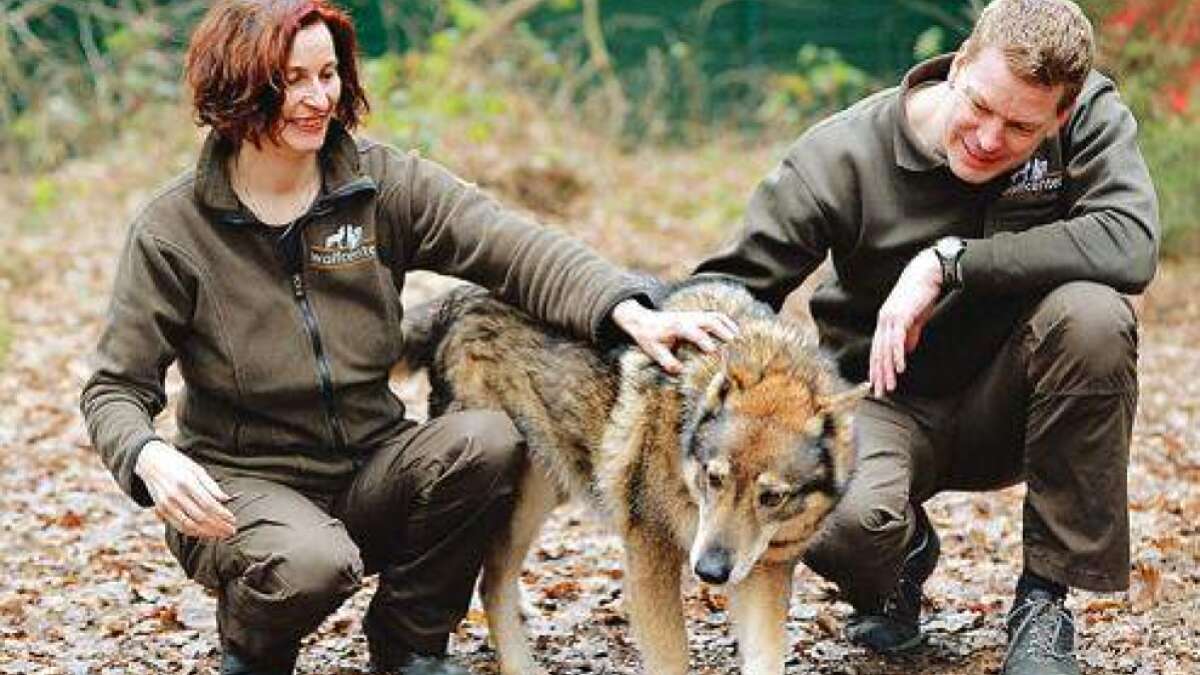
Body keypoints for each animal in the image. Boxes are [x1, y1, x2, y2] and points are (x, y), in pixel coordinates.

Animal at [401, 279, 863, 675]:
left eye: (771, 497)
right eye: (714, 479)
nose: (710, 572)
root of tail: (454, 300)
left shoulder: (767, 570)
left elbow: (766, 657)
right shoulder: (649, 550)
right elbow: (672, 658)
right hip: (526, 492)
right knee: (491, 581)